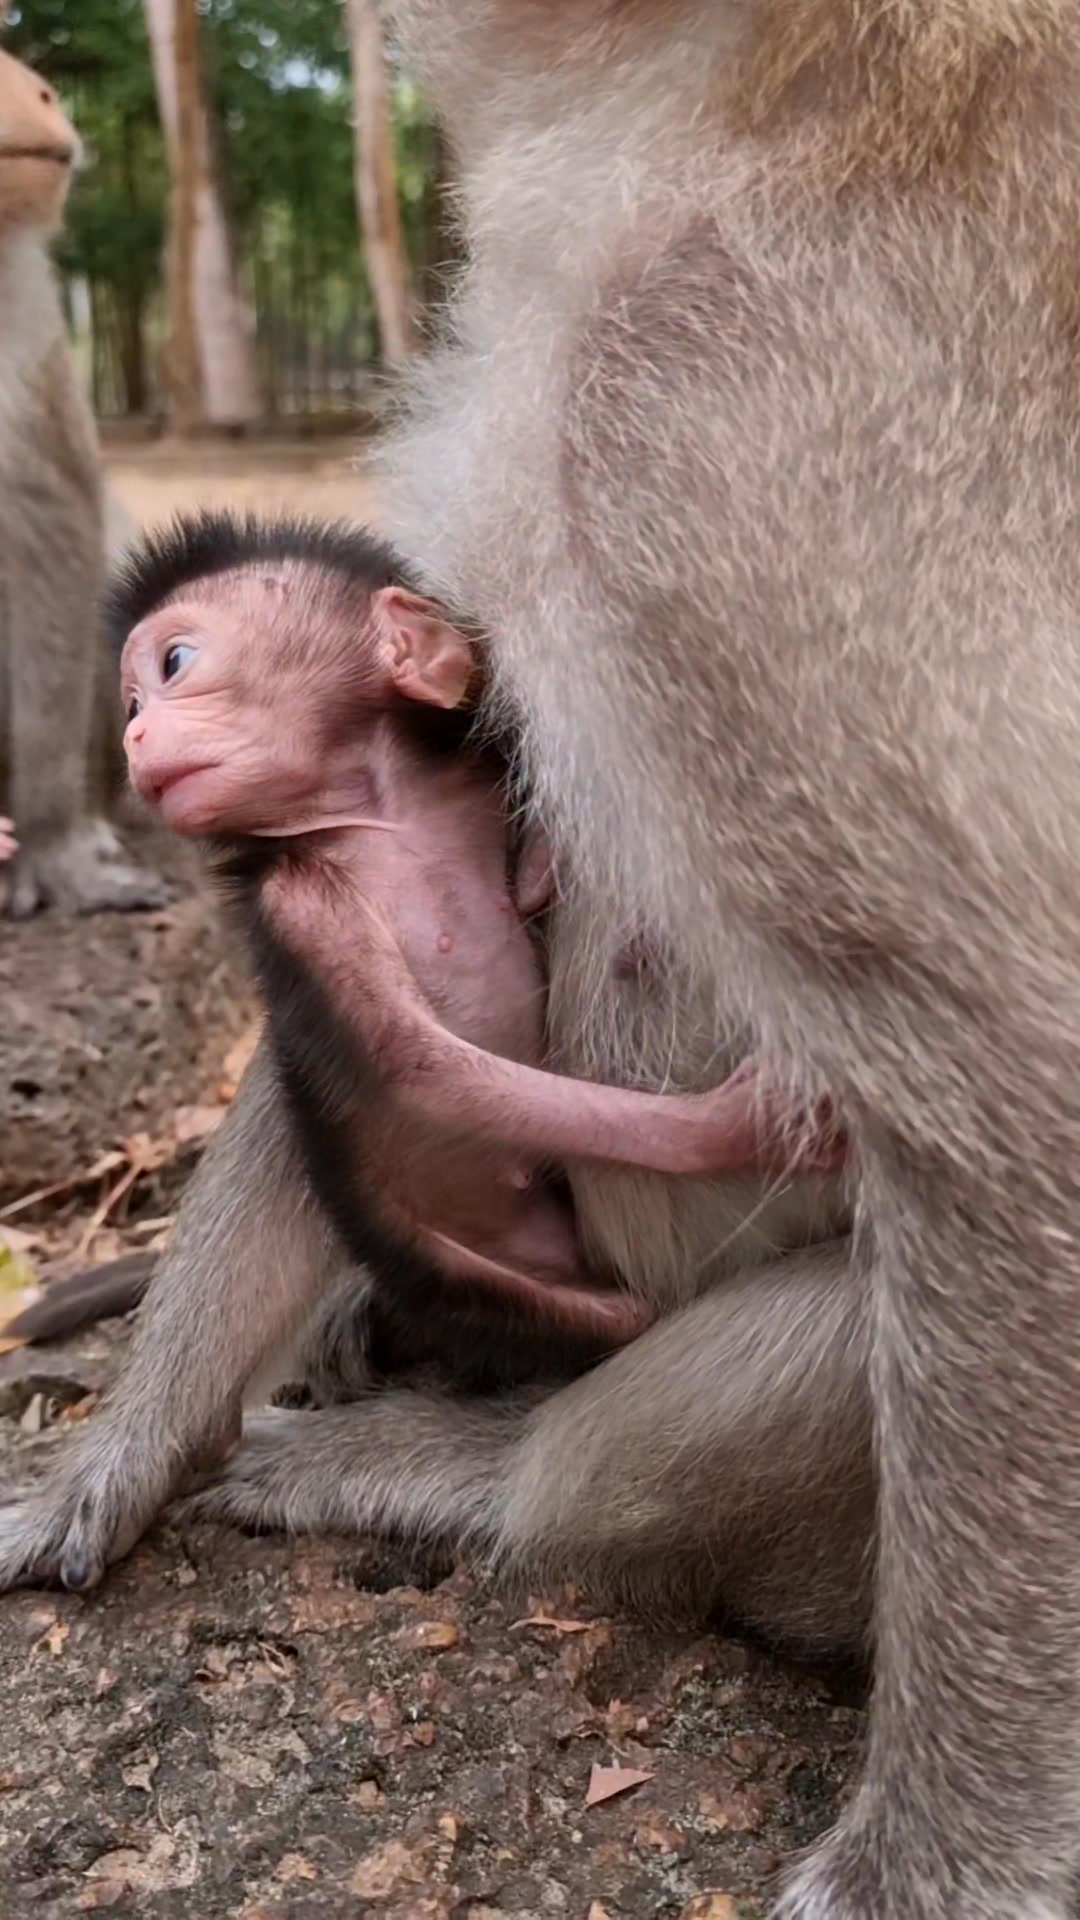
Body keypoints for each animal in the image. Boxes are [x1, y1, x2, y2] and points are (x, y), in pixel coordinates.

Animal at [5, 4, 1069, 1916]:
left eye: (179, 666)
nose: (143, 745)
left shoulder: (705, 424)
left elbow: (1019, 1064)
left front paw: (933, 1870)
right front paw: (119, 1451)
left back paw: (477, 1473)